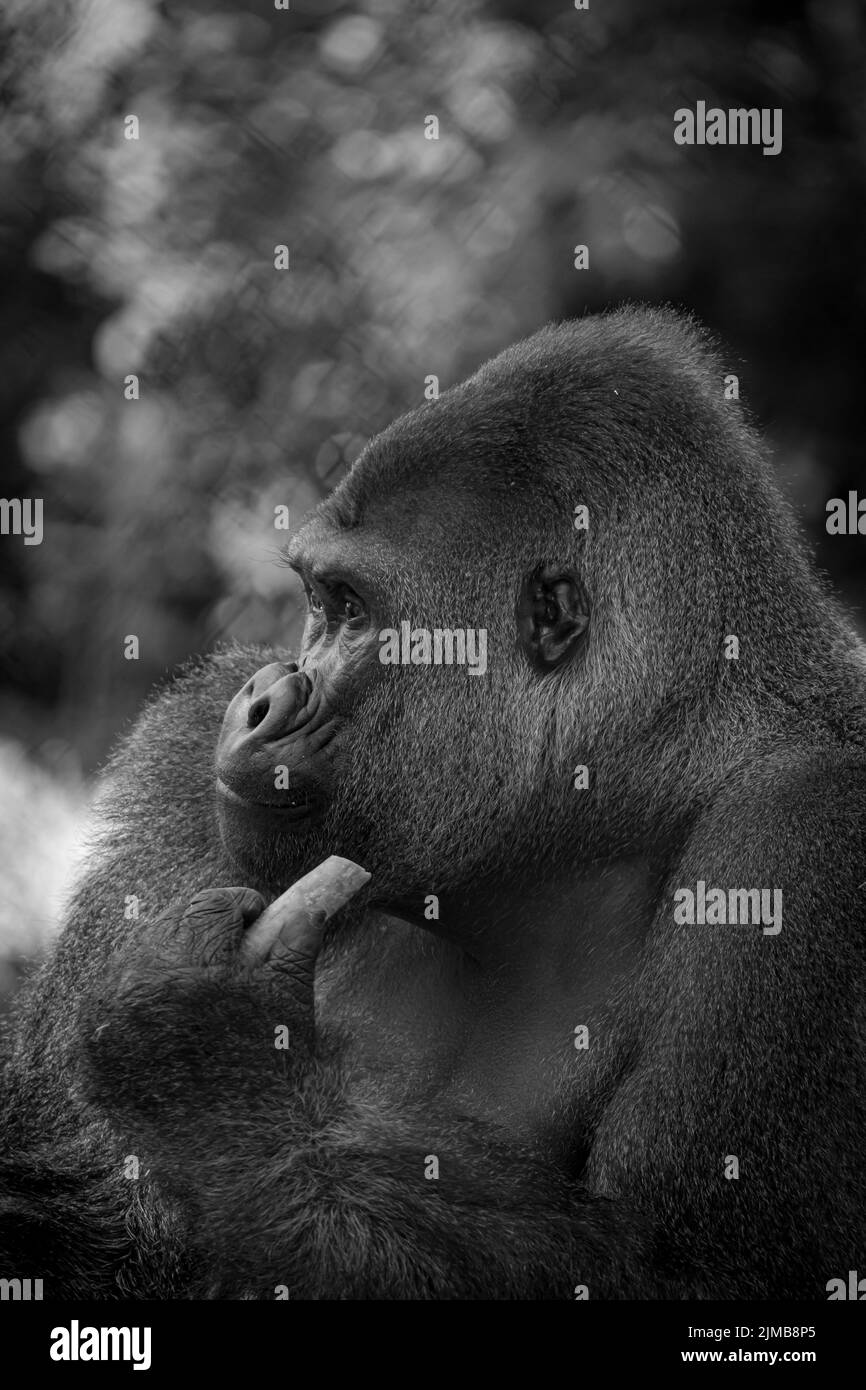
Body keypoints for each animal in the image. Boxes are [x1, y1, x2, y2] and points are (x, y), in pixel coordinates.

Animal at [1, 305, 864, 1299]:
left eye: (350, 606)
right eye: (316, 600)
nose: (260, 697)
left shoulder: (806, 831)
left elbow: (679, 1263)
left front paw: (210, 1070)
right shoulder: (184, 765)